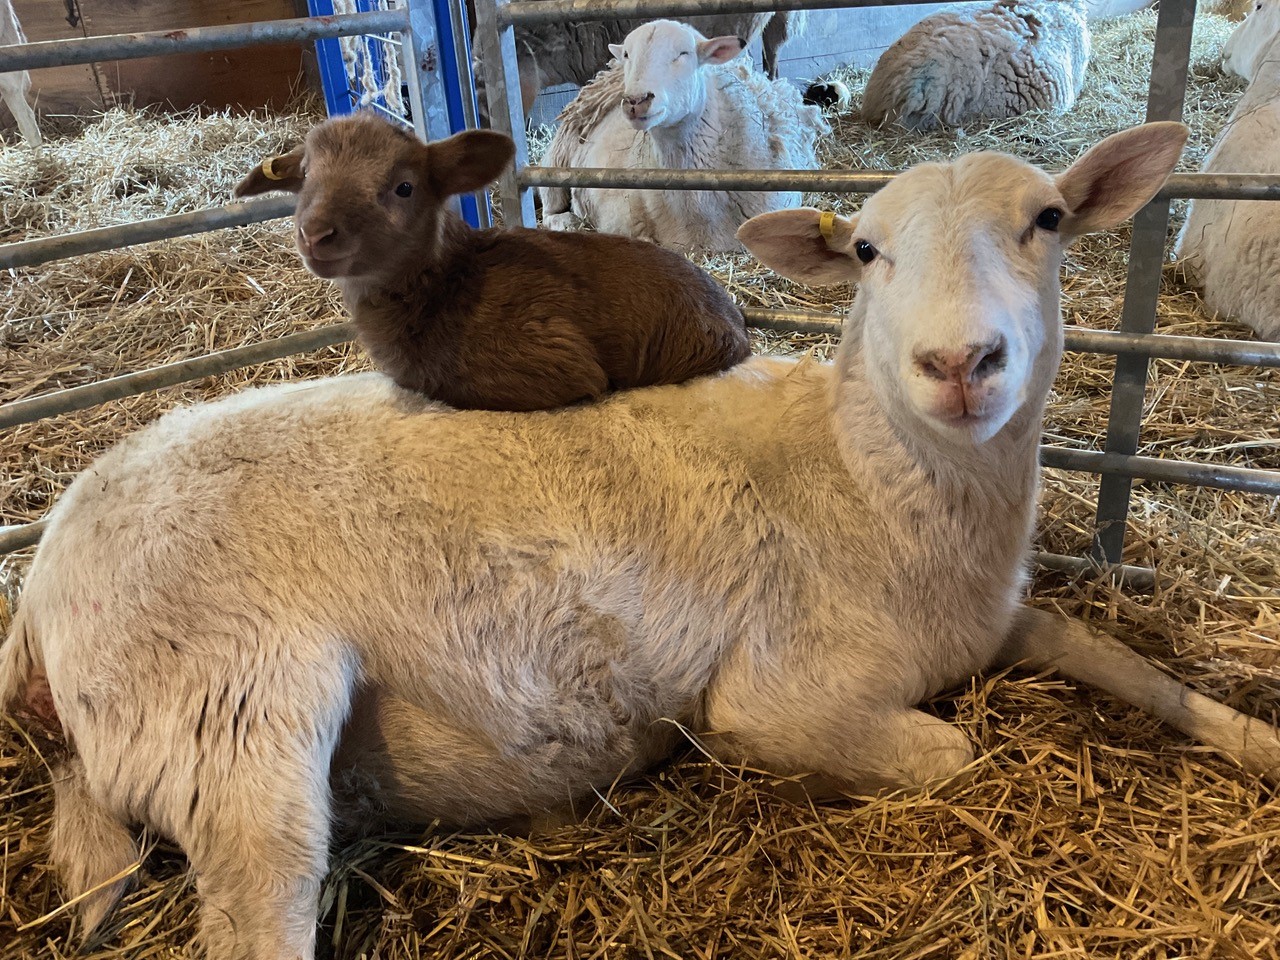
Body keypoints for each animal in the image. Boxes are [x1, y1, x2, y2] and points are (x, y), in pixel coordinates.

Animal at [233, 112, 750, 411]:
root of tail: (735, 317)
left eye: (405, 187)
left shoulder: (553, 362)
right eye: (304, 175)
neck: (446, 285)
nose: (316, 234)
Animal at [537, 20, 830, 253]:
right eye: (628, 54)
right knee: (550, 207)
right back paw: (568, 222)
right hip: (556, 160)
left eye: (683, 53)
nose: (636, 101)